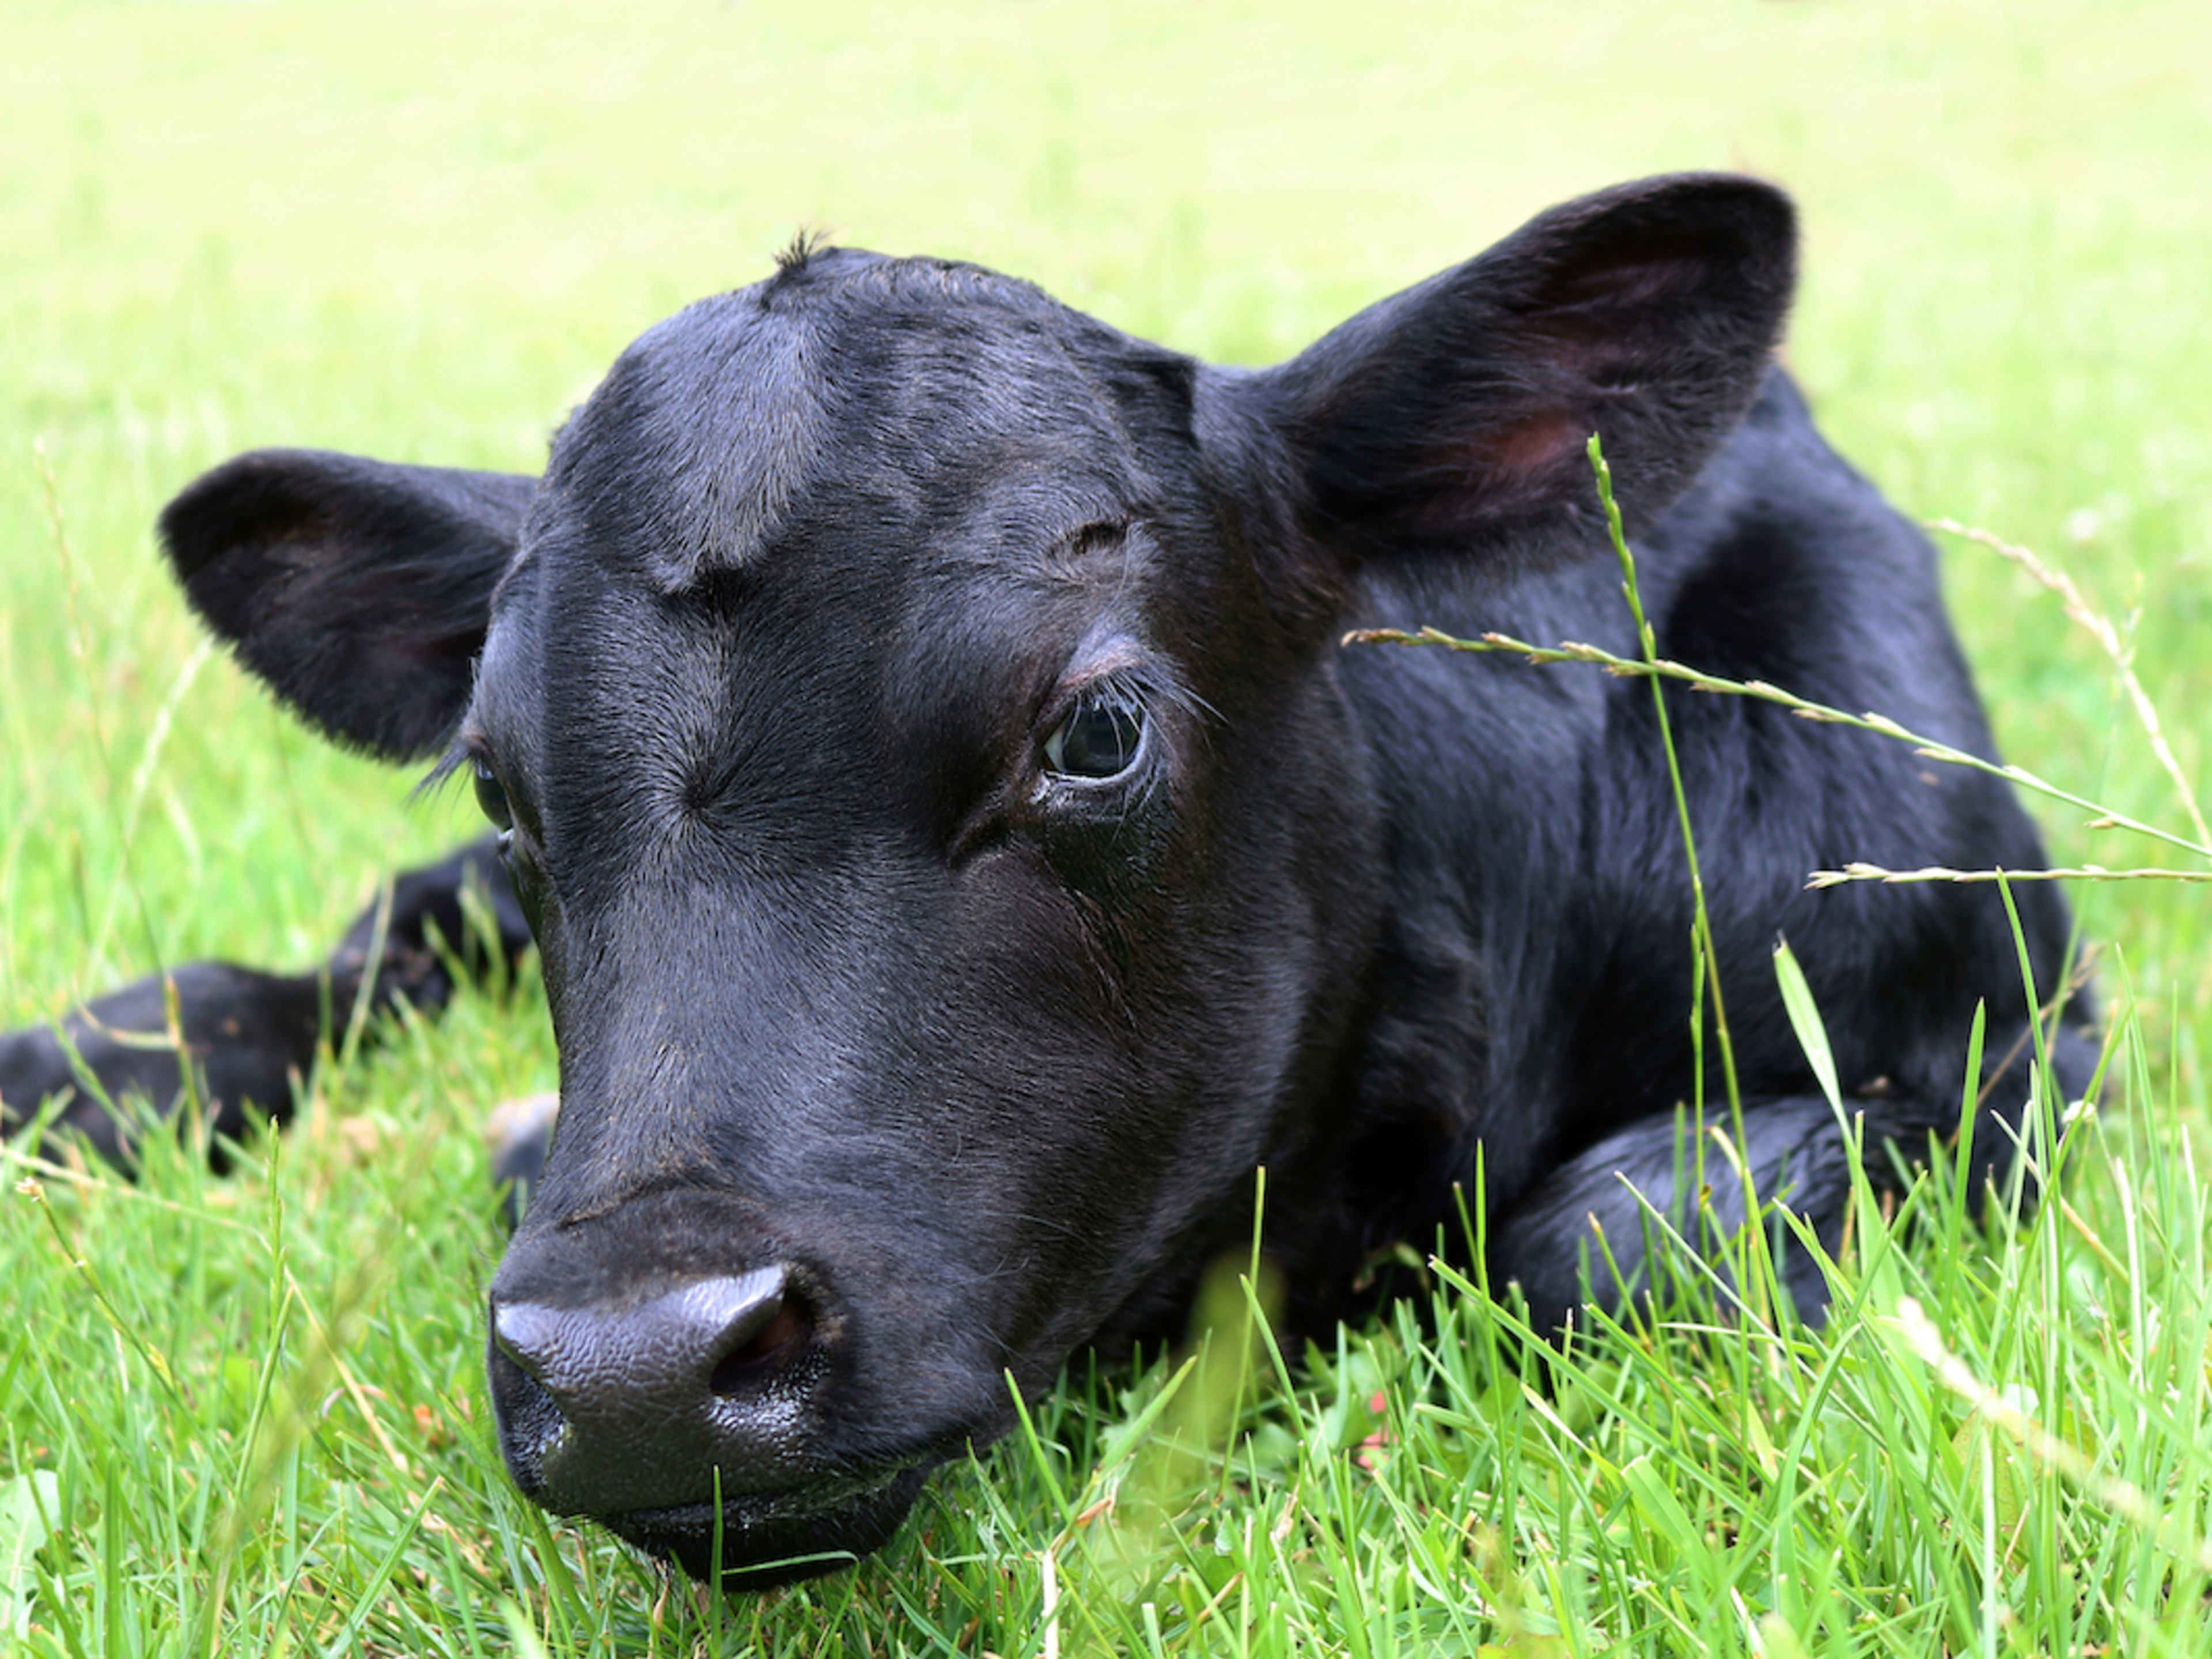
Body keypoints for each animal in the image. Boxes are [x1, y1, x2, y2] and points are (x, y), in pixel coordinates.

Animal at [0, 175, 2096, 1585]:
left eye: (1096, 730)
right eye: (506, 782)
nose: (635, 1368)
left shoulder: (2021, 1042)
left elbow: (1619, 1236)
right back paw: (103, 1062)